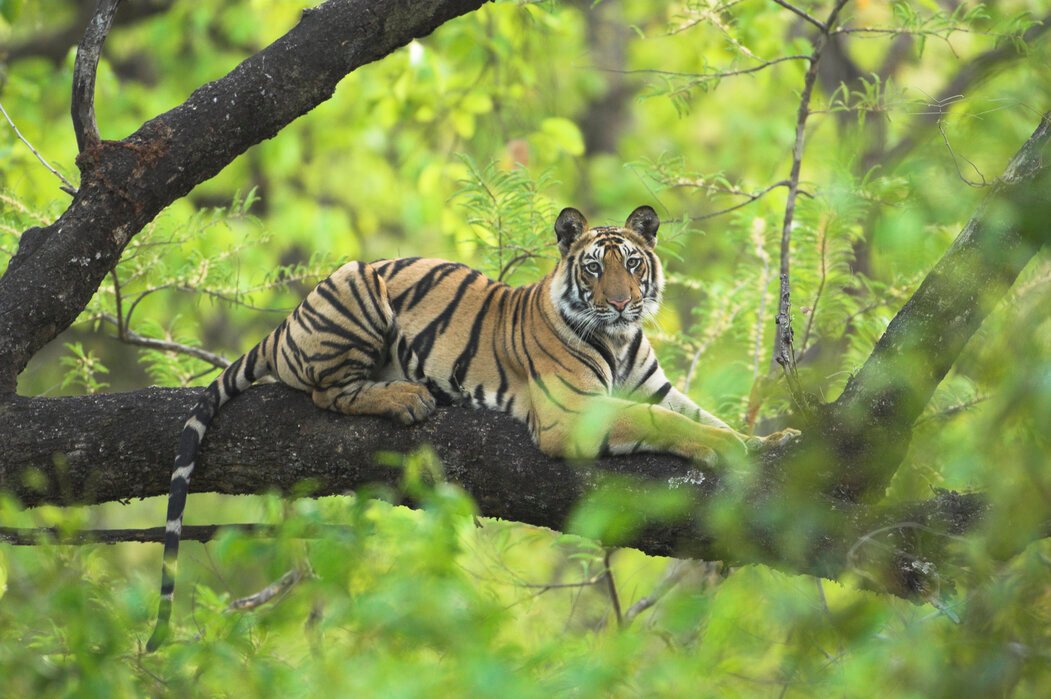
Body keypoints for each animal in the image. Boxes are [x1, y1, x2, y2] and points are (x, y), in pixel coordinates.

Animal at [146, 205, 798, 650]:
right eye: (594, 269)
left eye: (633, 264)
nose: (619, 304)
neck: (618, 340)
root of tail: (288, 320)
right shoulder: (575, 412)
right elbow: (667, 422)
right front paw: (730, 449)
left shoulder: (651, 385)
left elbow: (694, 413)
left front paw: (771, 440)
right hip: (358, 291)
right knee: (328, 390)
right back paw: (408, 398)